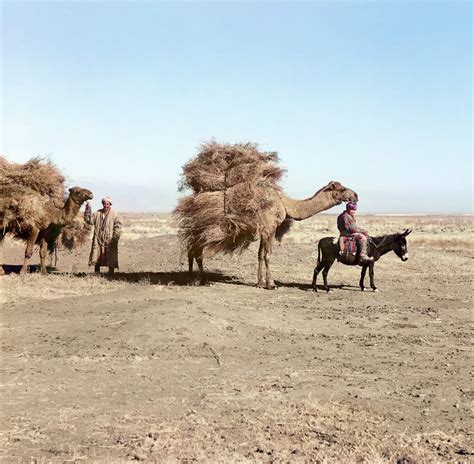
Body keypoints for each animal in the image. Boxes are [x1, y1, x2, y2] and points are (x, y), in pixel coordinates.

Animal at [187, 179, 358, 288]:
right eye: (342, 189)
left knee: (193, 251)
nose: (356, 195)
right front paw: (271, 284)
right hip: (203, 230)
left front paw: (259, 282)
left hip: (199, 231)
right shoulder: (270, 227)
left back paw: (196, 279)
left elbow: (260, 255)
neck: (285, 204)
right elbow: (267, 255)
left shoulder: (265, 230)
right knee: (196, 252)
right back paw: (197, 280)